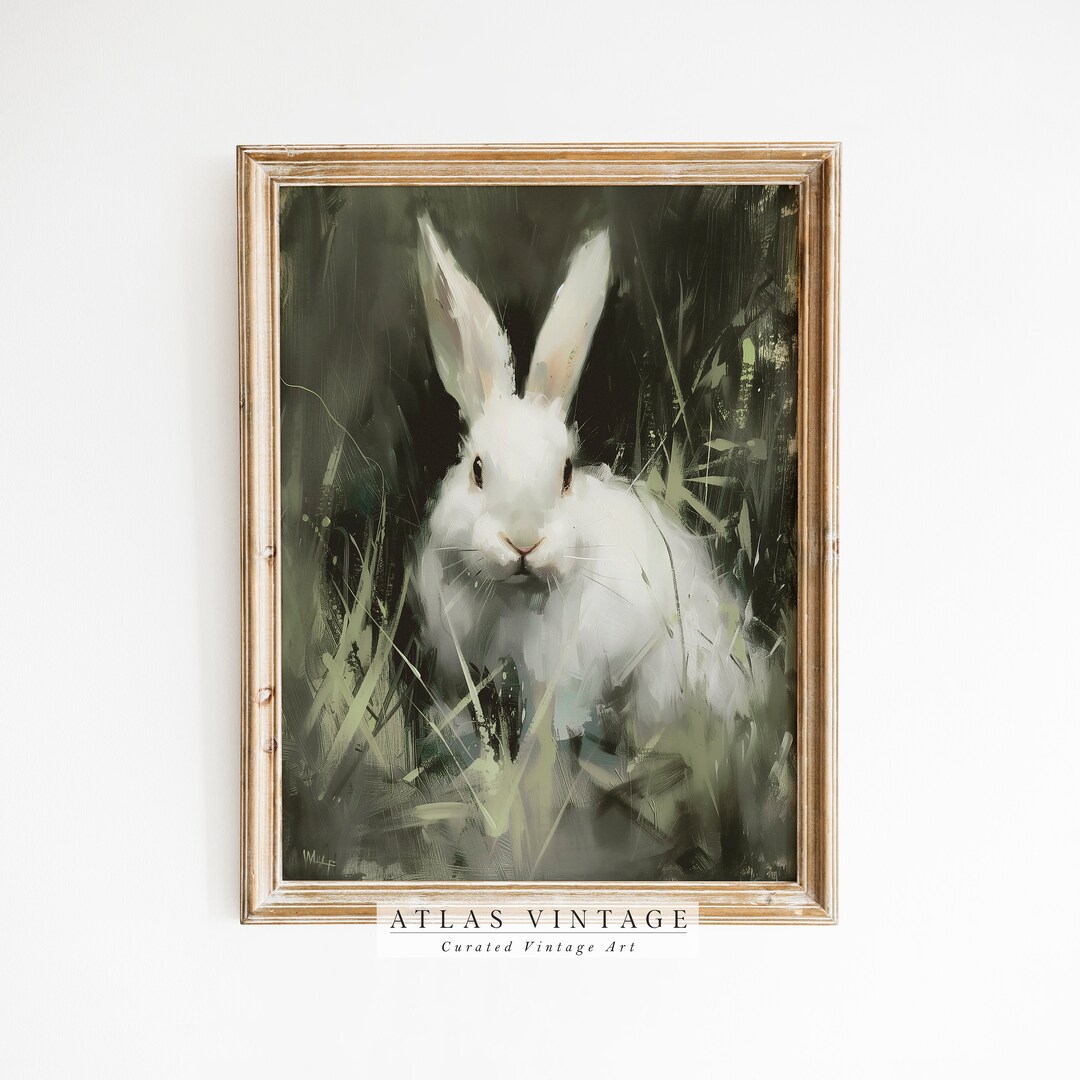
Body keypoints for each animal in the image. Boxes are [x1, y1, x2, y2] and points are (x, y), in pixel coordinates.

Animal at [413, 214, 751, 760]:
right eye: (478, 470)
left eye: (566, 473)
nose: (523, 542)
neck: (516, 599)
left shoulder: (565, 675)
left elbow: (551, 729)